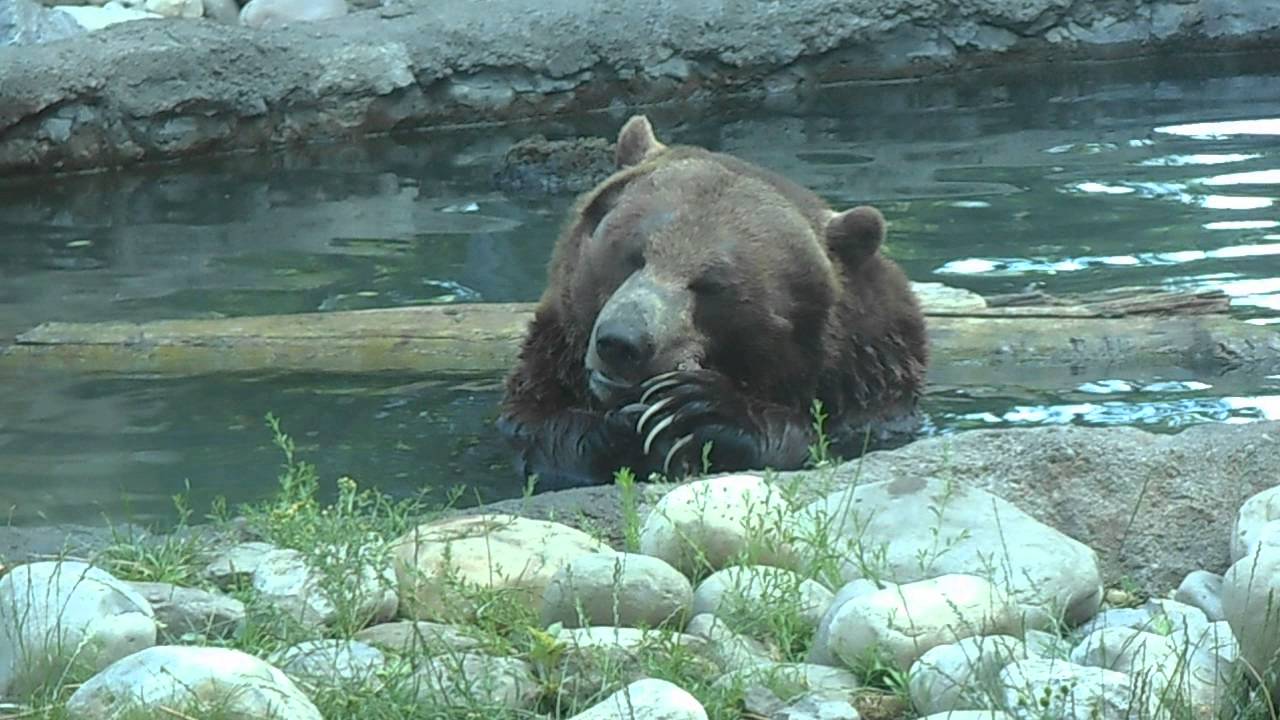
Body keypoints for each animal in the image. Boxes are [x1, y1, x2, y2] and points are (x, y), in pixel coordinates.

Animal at [496, 115, 928, 491]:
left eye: (710, 284)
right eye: (633, 255)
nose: (621, 343)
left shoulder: (866, 384)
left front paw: (695, 406)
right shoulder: (551, 365)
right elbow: (541, 430)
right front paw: (620, 428)